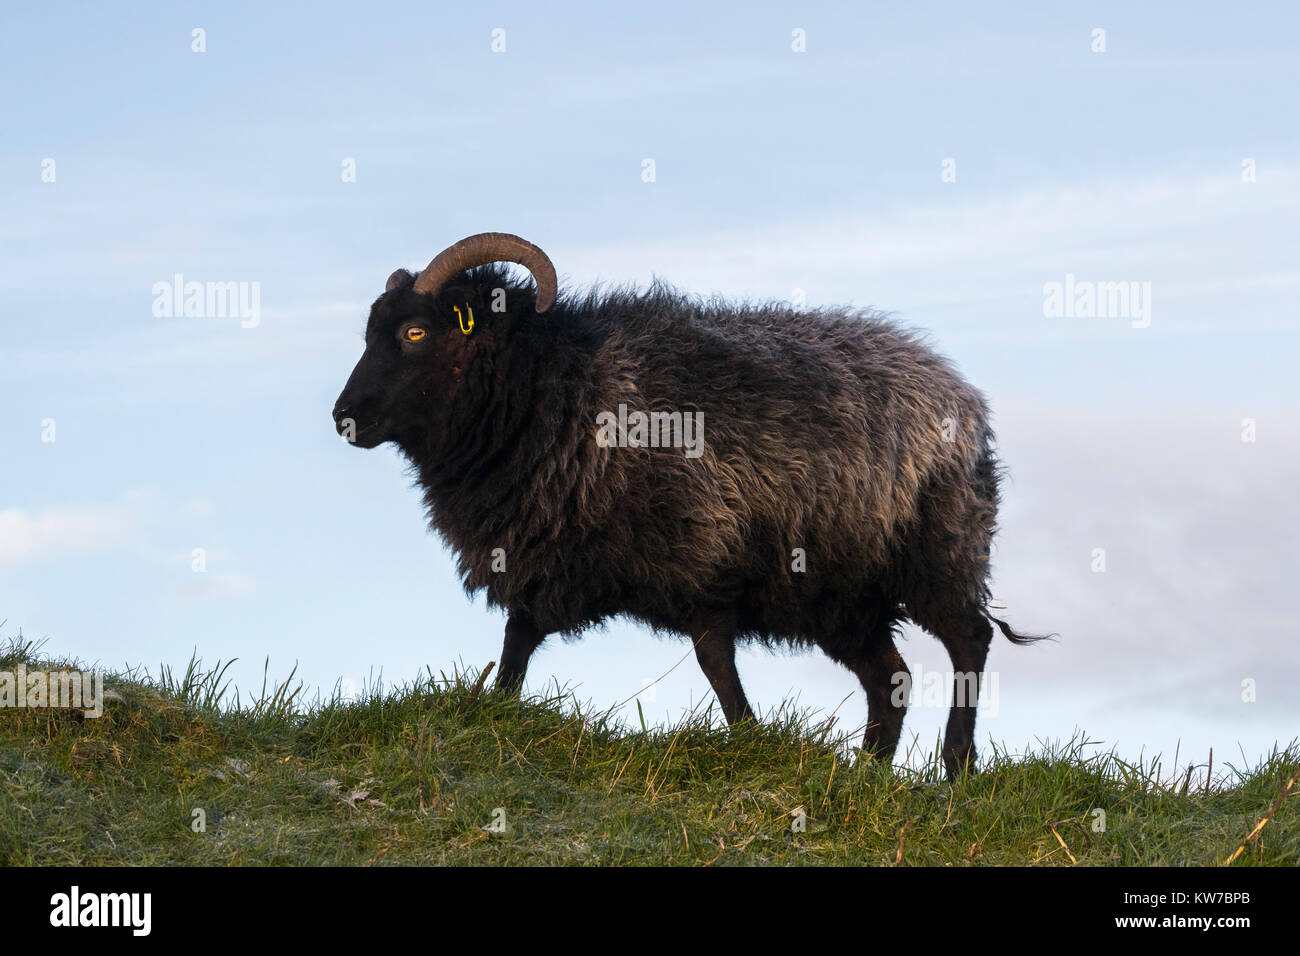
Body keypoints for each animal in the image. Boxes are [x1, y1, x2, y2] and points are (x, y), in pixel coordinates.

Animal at [333, 232, 1043, 779]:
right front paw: (497, 713)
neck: (557, 388)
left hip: (936, 550)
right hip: (844, 598)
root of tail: (958, 392)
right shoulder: (549, 554)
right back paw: (867, 776)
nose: (344, 418)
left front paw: (750, 738)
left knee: (969, 642)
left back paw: (955, 768)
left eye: (416, 331)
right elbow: (517, 641)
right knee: (889, 680)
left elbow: (714, 661)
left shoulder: (702, 555)